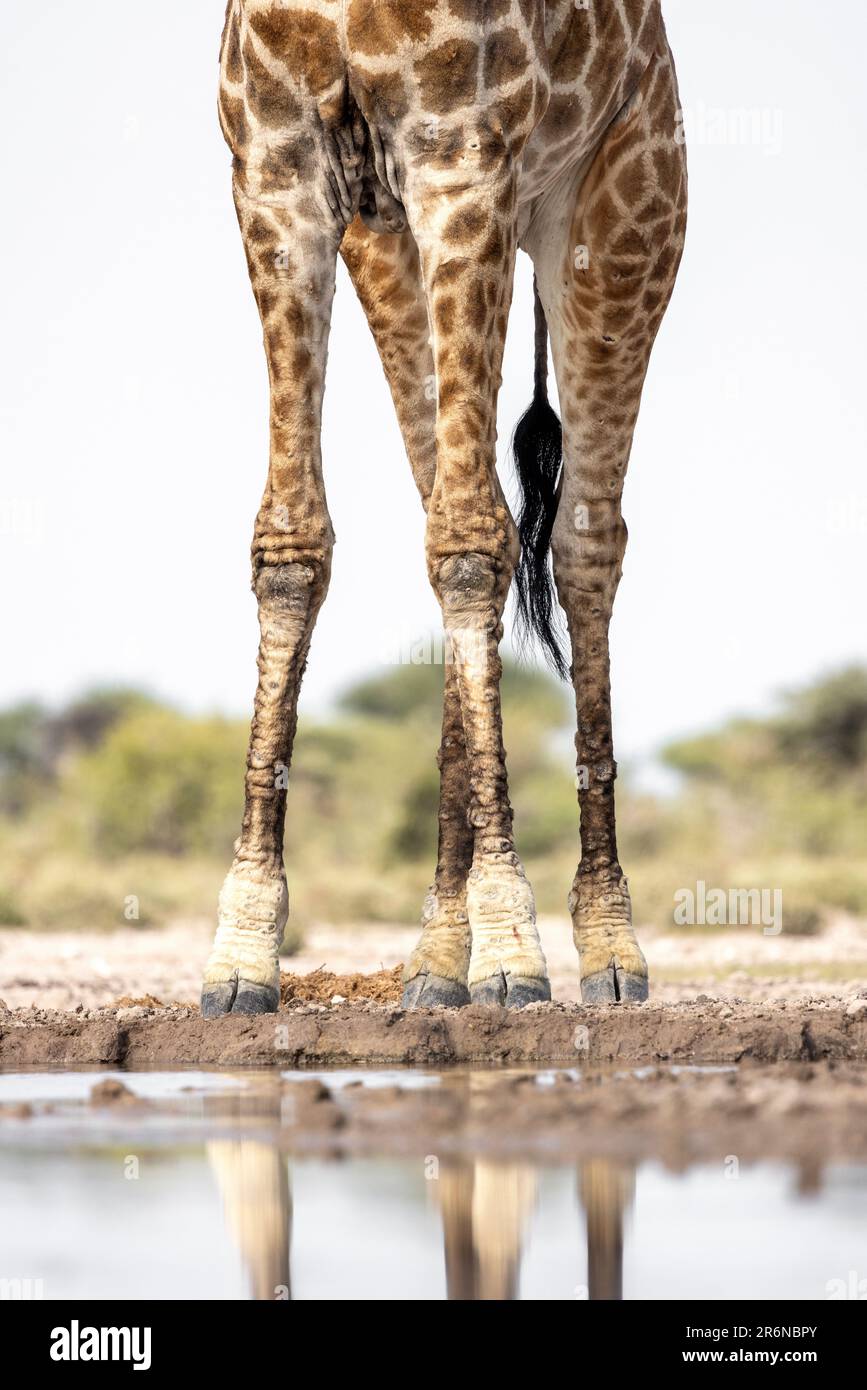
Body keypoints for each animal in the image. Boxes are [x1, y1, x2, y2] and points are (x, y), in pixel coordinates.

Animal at [202, 0, 687, 1017]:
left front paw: (515, 949)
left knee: (582, 544)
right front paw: (239, 955)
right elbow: (293, 543)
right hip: (388, 247)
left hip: (625, 217)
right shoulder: (276, 168)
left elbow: (470, 543)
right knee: (477, 512)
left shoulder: (460, 158)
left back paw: (608, 946)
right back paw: (434, 957)